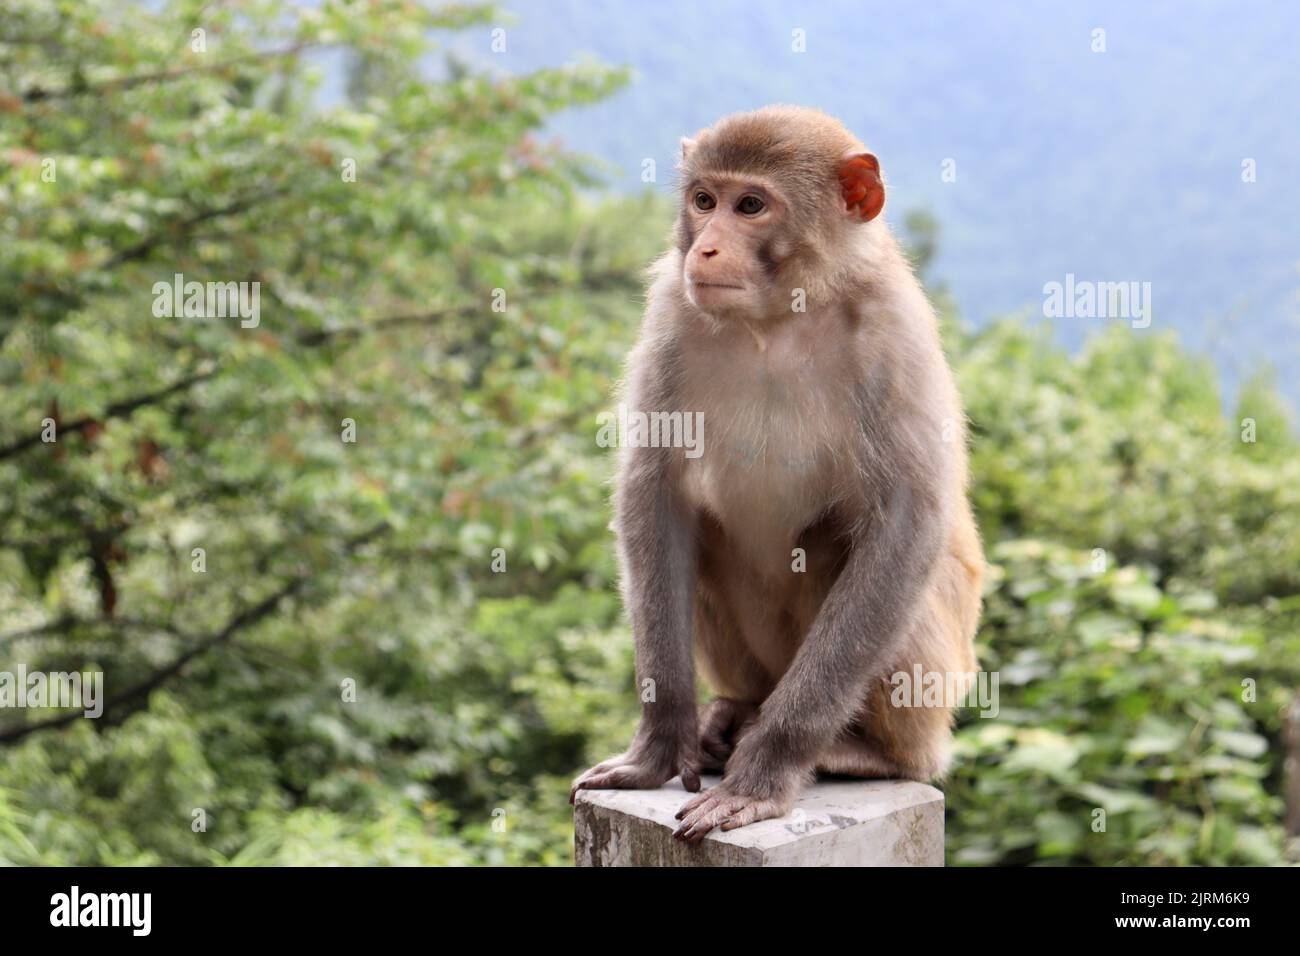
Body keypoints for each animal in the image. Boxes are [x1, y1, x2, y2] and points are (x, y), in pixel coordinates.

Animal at [570, 106, 984, 843]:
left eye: (751, 206)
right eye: (704, 201)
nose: (706, 249)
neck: (779, 317)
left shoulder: (895, 330)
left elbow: (905, 524)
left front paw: (764, 775)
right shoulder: (671, 309)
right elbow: (655, 493)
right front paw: (658, 746)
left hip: (941, 687)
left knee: (835, 541)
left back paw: (864, 753)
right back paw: (727, 715)